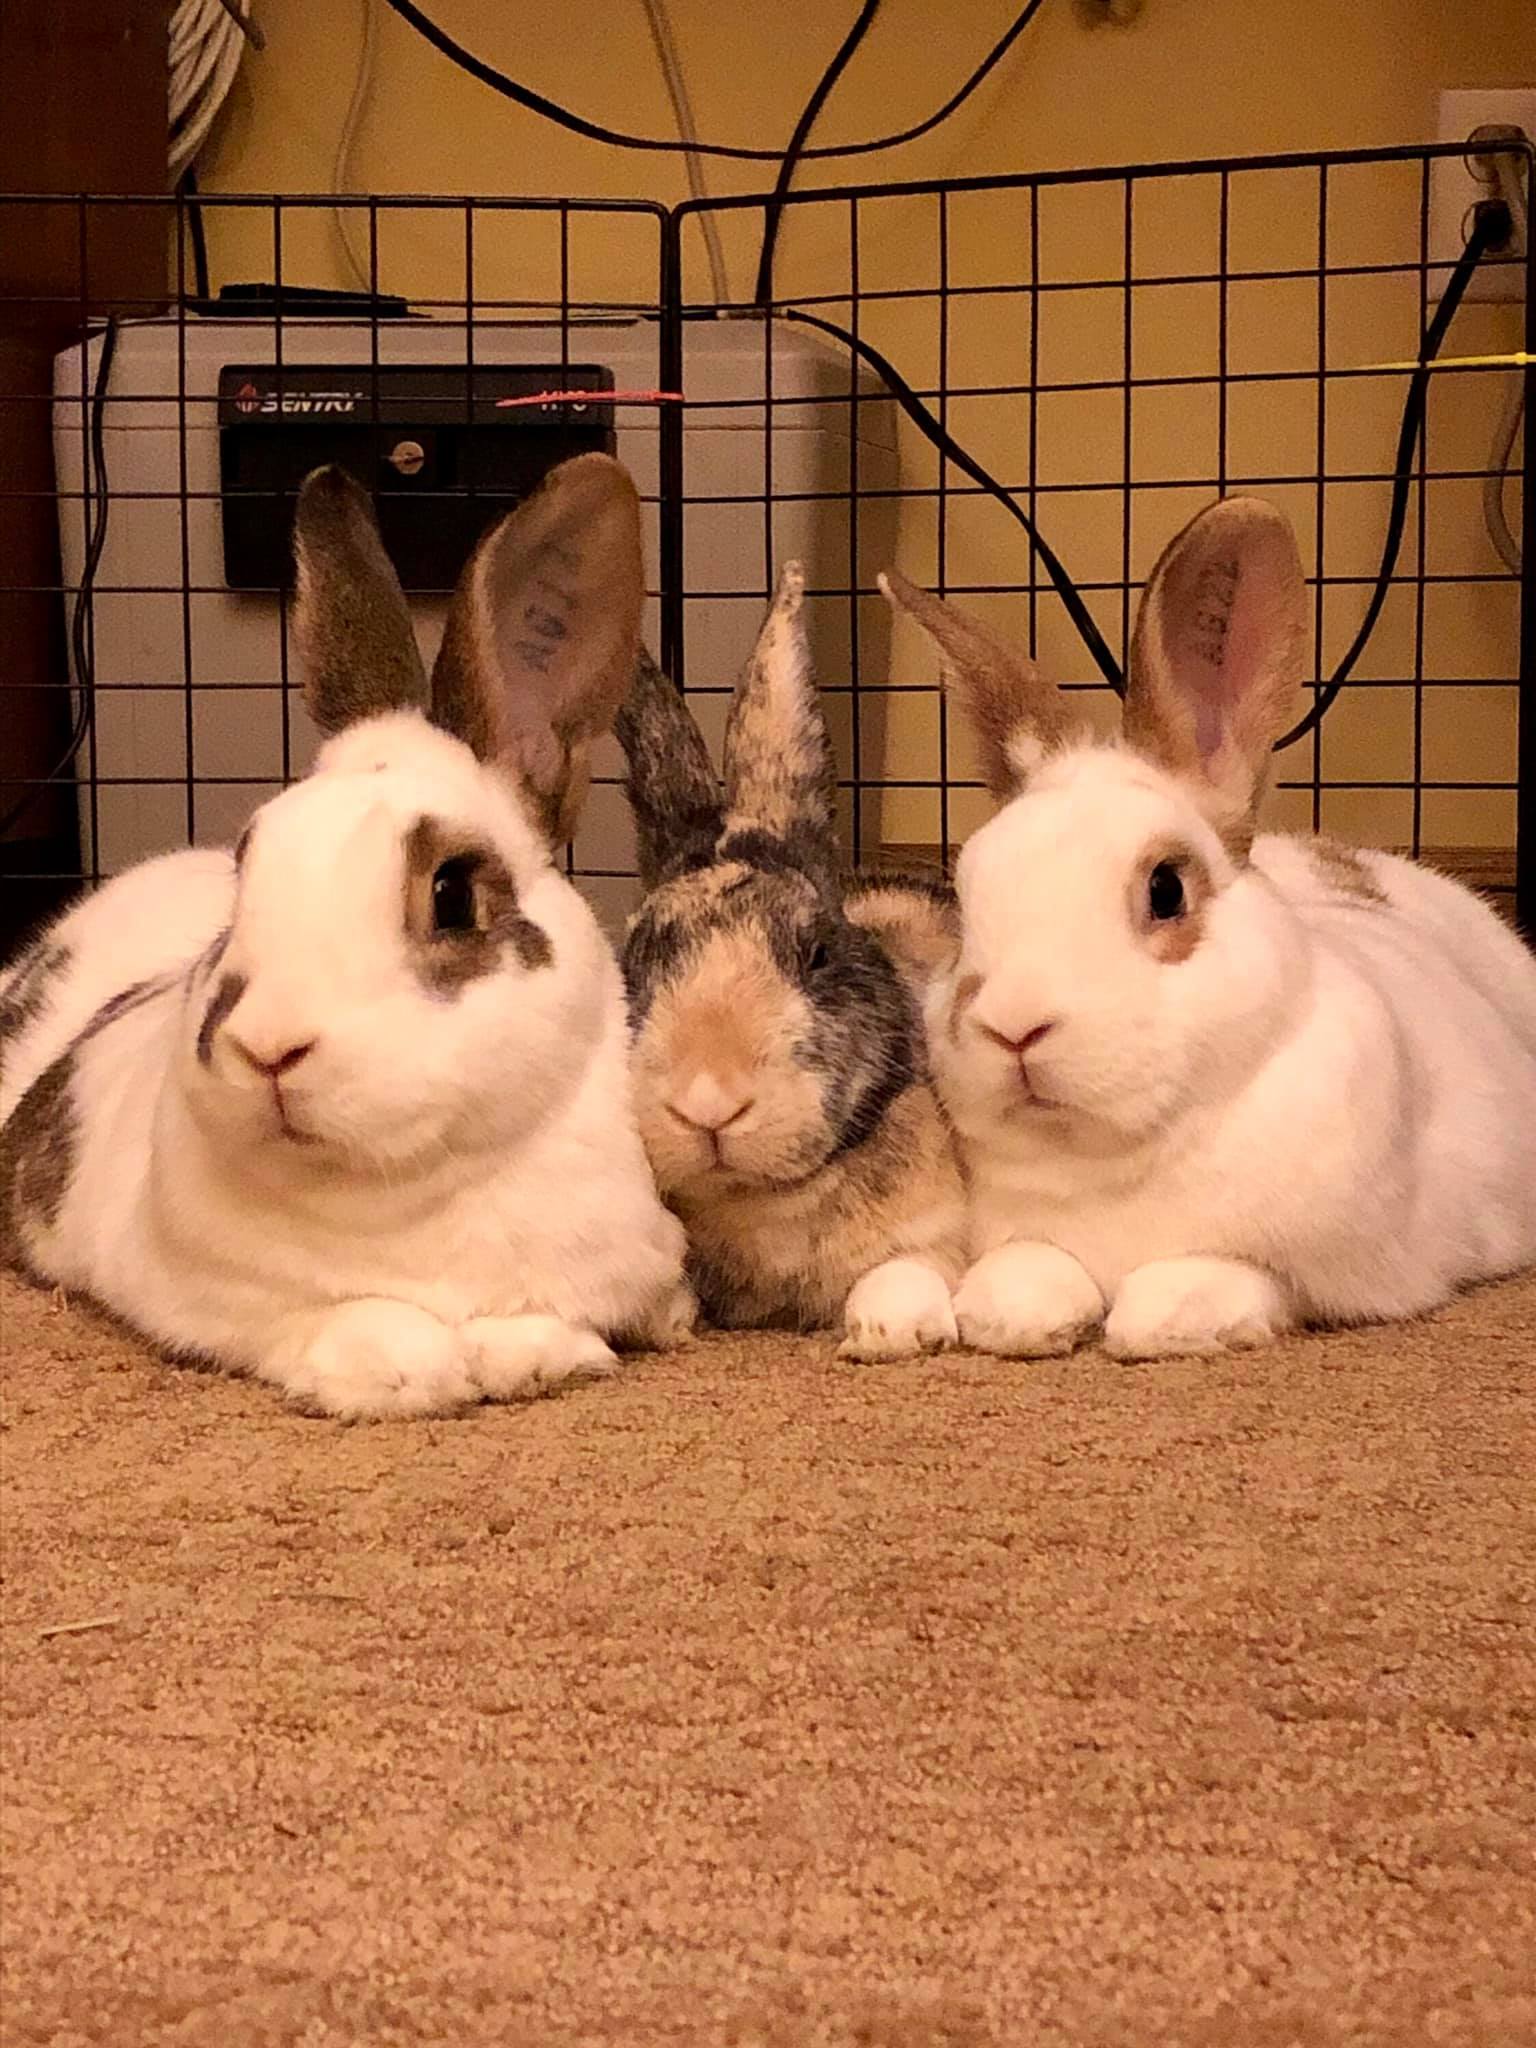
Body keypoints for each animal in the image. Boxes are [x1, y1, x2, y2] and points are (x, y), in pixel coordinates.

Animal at [0, 453, 692, 1418]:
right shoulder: (202, 1294)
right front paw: (409, 1370)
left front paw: (533, 1356)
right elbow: (335, 1323)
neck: (405, 1188)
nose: (268, 1048)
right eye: (247, 869)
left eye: (452, 894)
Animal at [613, 562, 967, 1361]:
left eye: (817, 953)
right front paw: (665, 1319)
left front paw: (885, 1332)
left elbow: (903, 1272)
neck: (766, 1199)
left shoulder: (942, 1237)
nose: (708, 1104)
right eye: (632, 964)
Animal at [880, 494, 1536, 1361]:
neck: (1116, 1157)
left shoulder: (1344, 1270)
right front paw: (1015, 1314)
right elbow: (1026, 1267)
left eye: (1165, 890)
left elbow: (1216, 1281)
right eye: (963, 898)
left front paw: (1157, 1320)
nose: (1014, 1026)